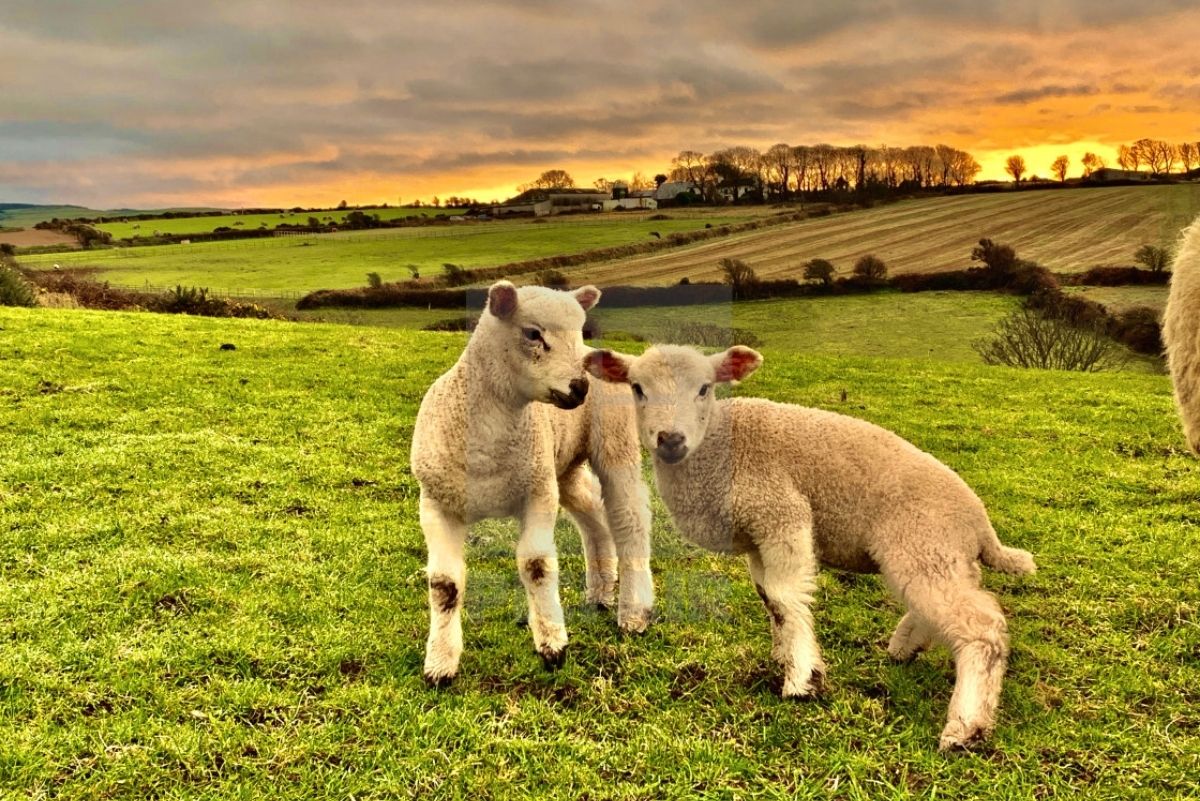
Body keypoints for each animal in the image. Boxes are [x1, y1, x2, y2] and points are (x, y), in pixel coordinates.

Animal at [411, 281, 654, 684]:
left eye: (579, 331)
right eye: (532, 334)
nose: (579, 387)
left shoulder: (537, 493)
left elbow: (537, 566)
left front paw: (553, 645)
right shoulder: (435, 503)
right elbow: (444, 584)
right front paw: (440, 665)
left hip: (614, 443)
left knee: (629, 521)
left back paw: (633, 613)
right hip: (562, 466)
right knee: (593, 516)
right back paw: (601, 591)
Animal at [585, 344, 1036, 751]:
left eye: (704, 388)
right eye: (637, 388)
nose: (670, 440)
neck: (717, 445)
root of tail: (980, 524)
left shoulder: (783, 515)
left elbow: (786, 597)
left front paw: (803, 680)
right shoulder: (757, 538)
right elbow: (770, 600)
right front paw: (783, 657)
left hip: (925, 547)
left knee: (982, 628)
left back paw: (966, 728)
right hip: (943, 558)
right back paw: (906, 646)